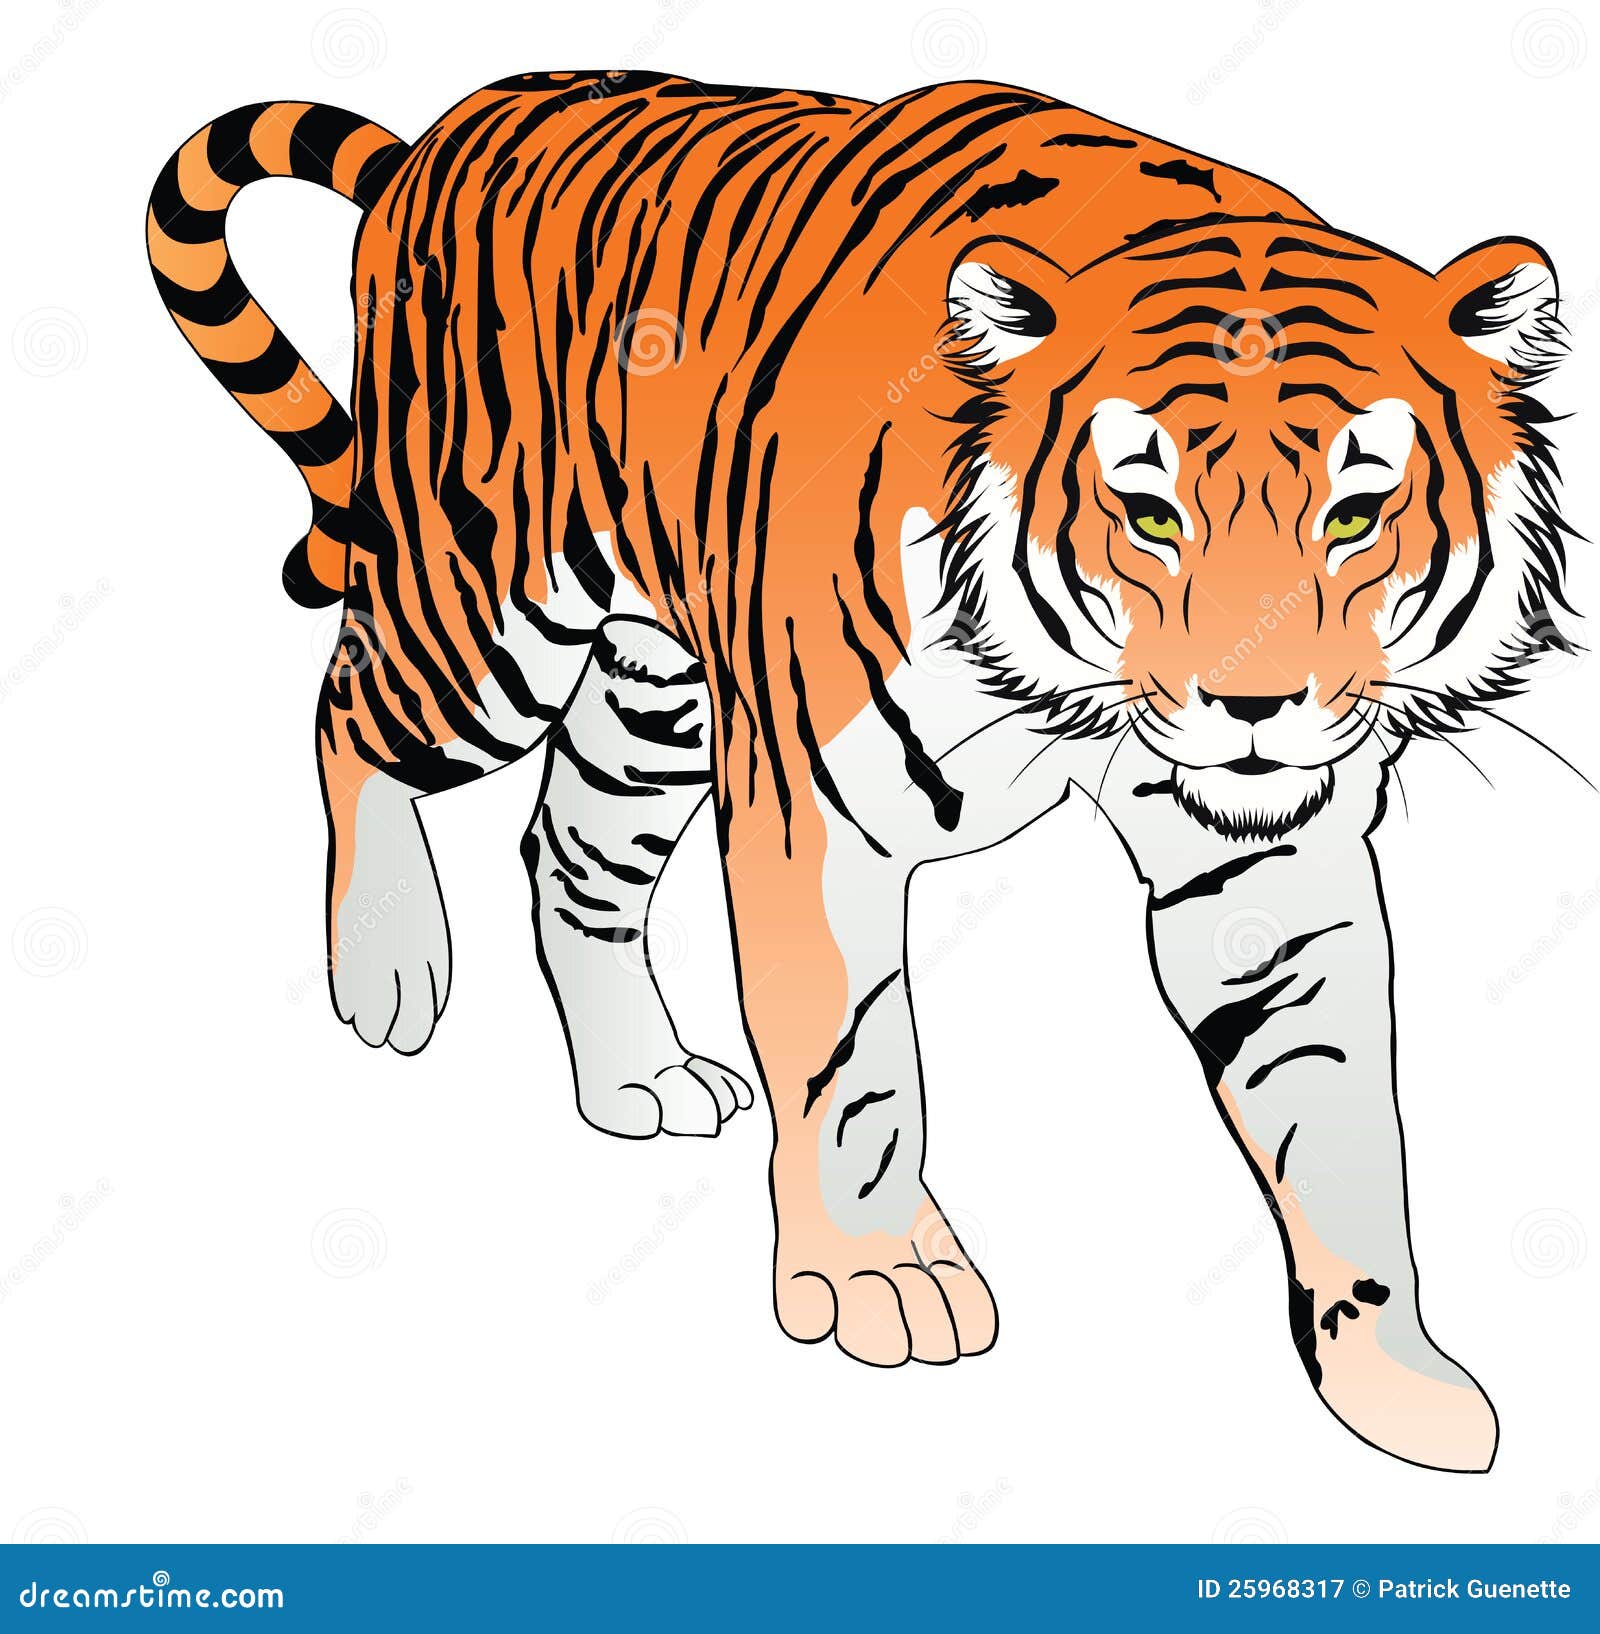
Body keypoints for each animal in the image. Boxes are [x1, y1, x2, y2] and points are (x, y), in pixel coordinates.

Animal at [148, 71, 1574, 1472]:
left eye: (1355, 513)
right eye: (1149, 513)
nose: (1254, 710)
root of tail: (433, 140)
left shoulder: (1273, 863)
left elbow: (1336, 1113)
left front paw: (1394, 1374)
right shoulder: (813, 808)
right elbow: (855, 1070)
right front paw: (877, 1278)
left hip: (657, 693)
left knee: (570, 849)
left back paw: (637, 1077)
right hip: (482, 604)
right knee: (347, 714)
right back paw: (385, 970)